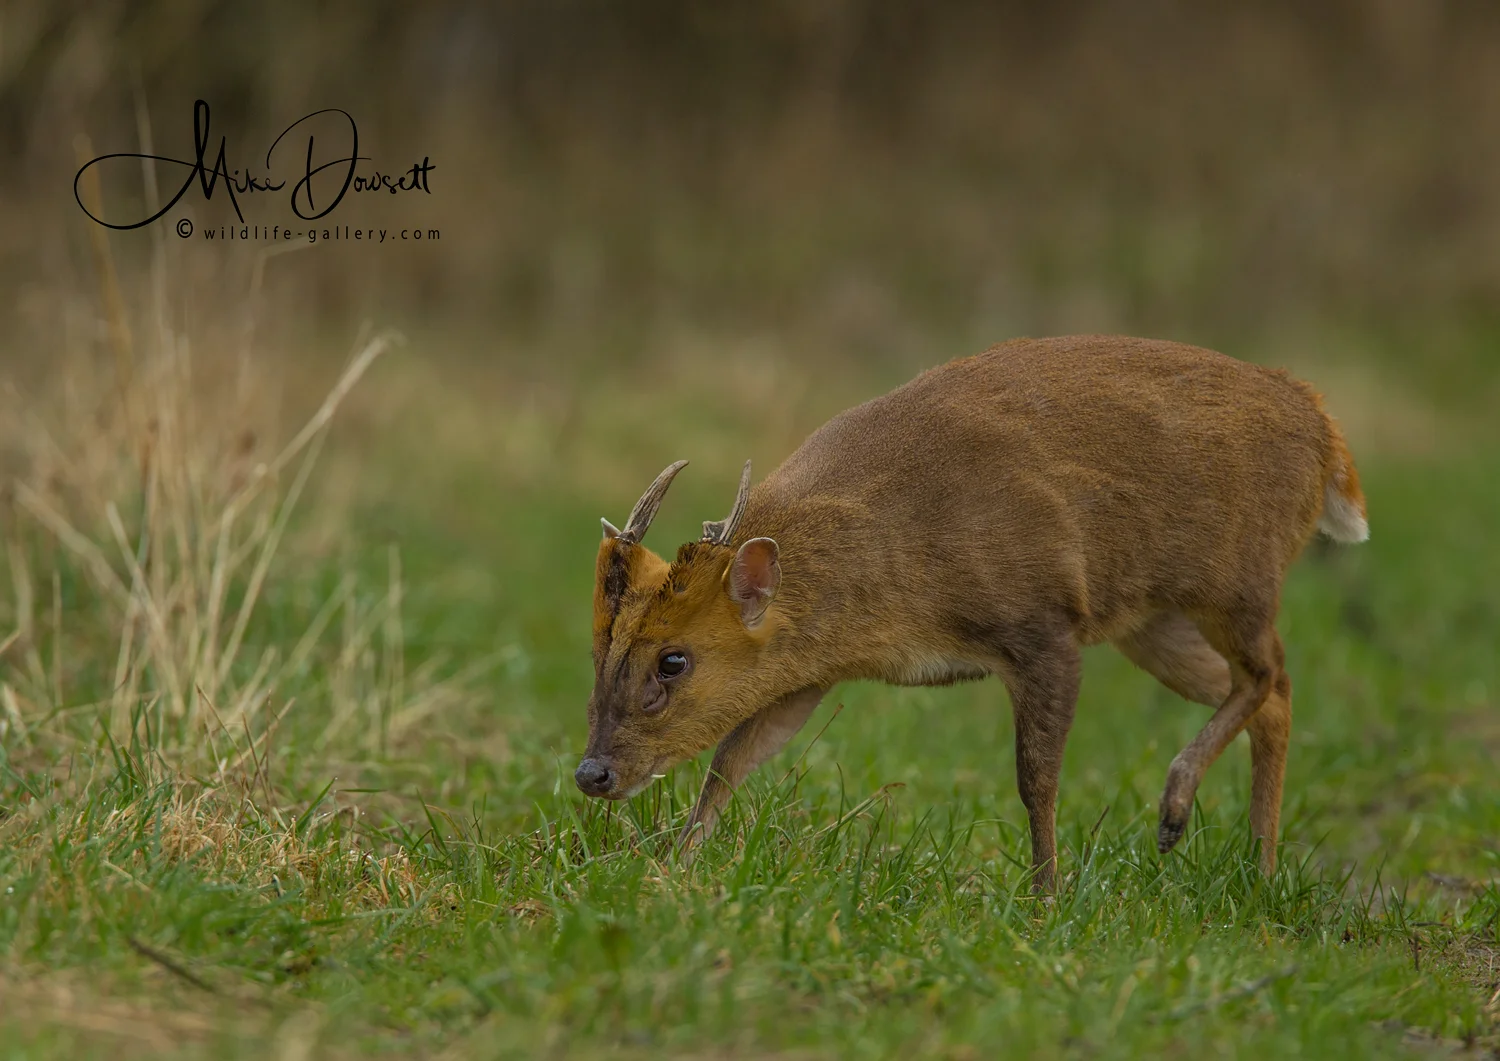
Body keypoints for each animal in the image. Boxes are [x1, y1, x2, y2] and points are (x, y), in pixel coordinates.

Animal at [575, 335, 1368, 890]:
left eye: (673, 659)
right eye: (598, 651)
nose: (592, 774)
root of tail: (1327, 431)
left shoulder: (1043, 623)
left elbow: (1035, 776)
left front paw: (1046, 898)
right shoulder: (810, 670)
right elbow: (732, 758)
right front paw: (673, 868)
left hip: (1240, 579)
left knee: (1268, 672)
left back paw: (1179, 815)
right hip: (1153, 621)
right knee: (1272, 693)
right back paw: (1258, 869)